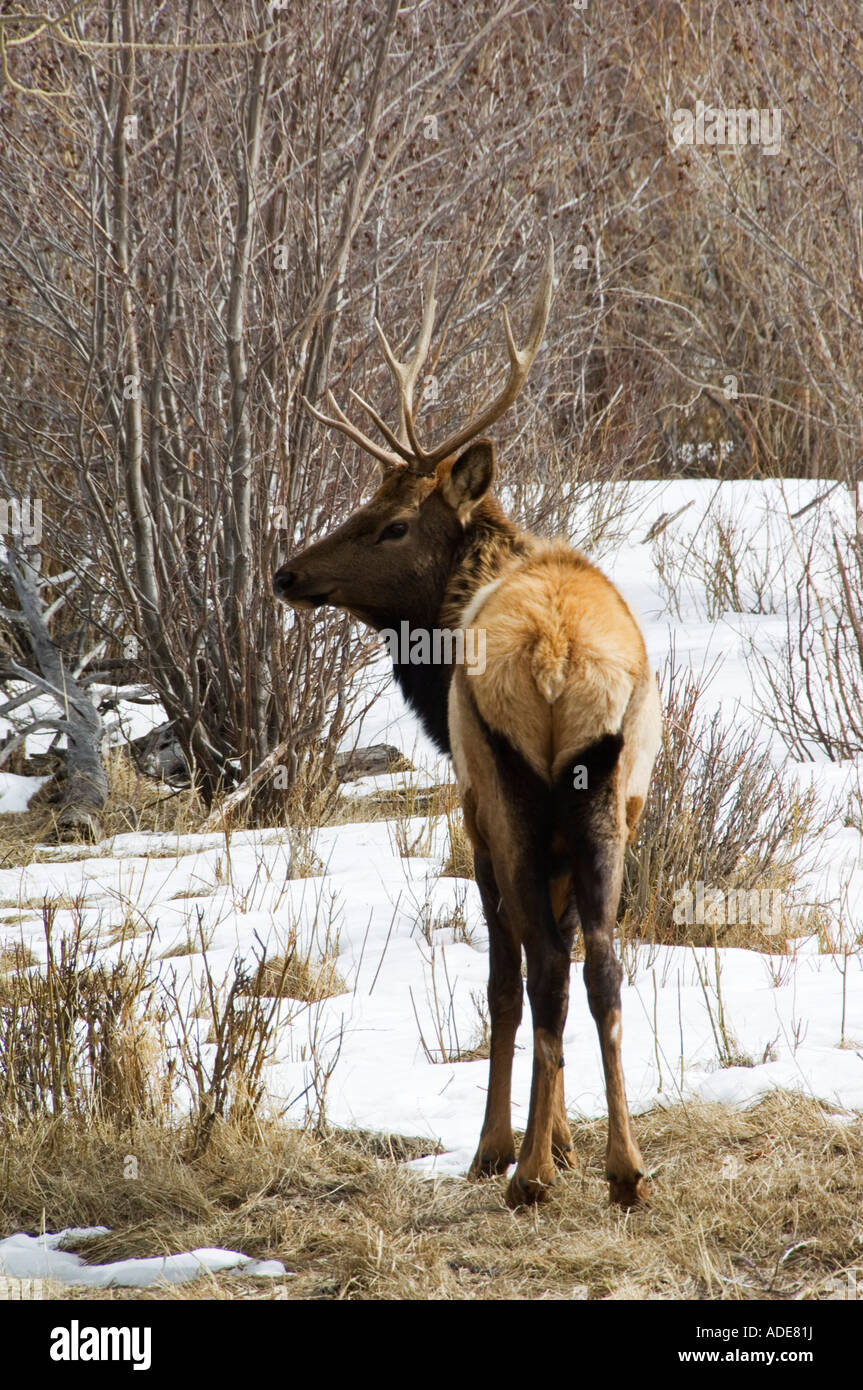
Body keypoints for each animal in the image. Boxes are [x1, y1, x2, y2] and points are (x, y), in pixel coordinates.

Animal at [274, 241, 662, 1208]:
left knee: (539, 969)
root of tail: (558, 656)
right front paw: (564, 1139)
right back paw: (626, 1168)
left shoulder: (470, 810)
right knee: (602, 961)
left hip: (510, 795)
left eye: (391, 523)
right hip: (607, 796)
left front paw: (504, 1146)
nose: (288, 573)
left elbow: (502, 980)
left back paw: (524, 1175)